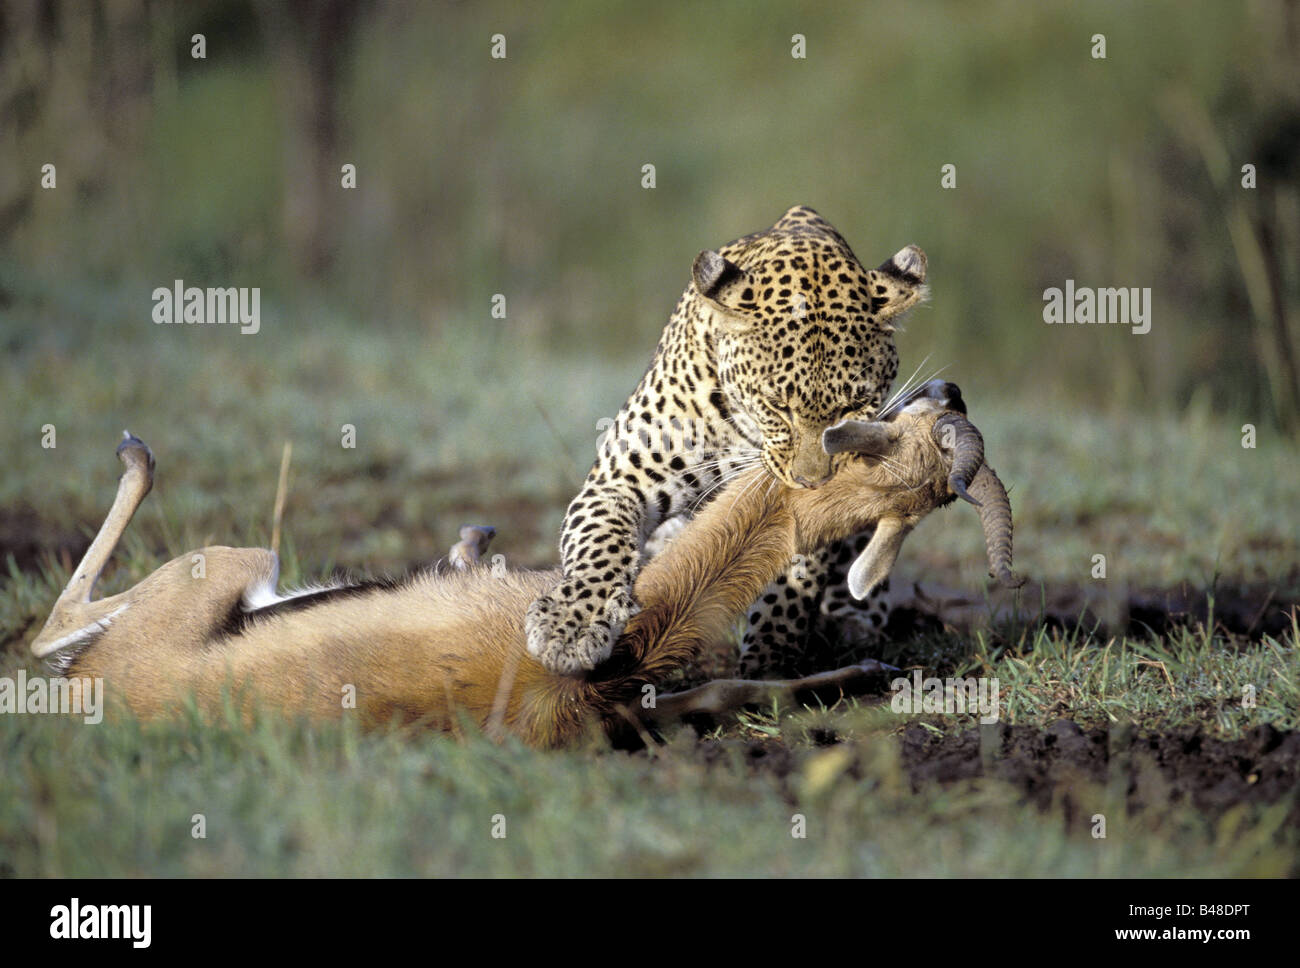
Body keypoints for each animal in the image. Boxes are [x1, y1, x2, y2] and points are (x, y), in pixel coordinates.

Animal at [525, 205, 934, 677]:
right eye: (777, 405)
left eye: (855, 406)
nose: (811, 483)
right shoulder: (621, 478)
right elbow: (601, 544)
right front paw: (570, 627)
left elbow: (794, 578)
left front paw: (771, 657)